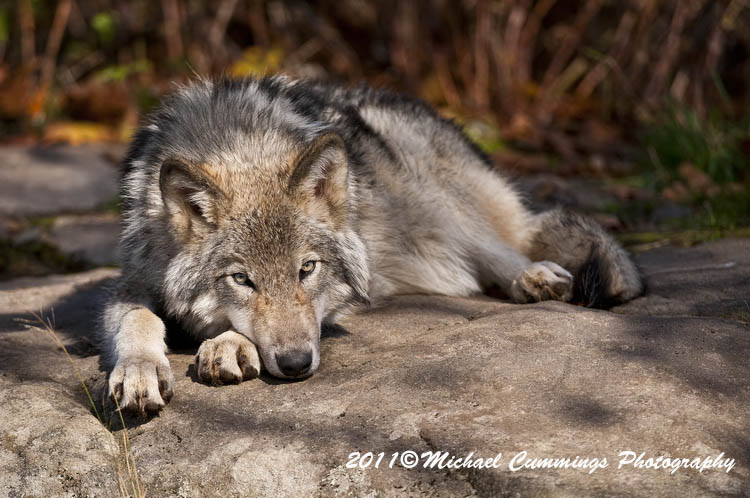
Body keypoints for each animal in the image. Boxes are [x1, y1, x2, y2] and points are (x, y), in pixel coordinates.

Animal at [101, 76, 642, 414]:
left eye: (307, 270)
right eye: (241, 279)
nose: (297, 365)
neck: (238, 142)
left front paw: (227, 344)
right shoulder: (129, 281)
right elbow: (138, 318)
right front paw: (139, 370)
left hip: (434, 202)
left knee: (504, 244)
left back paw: (533, 276)